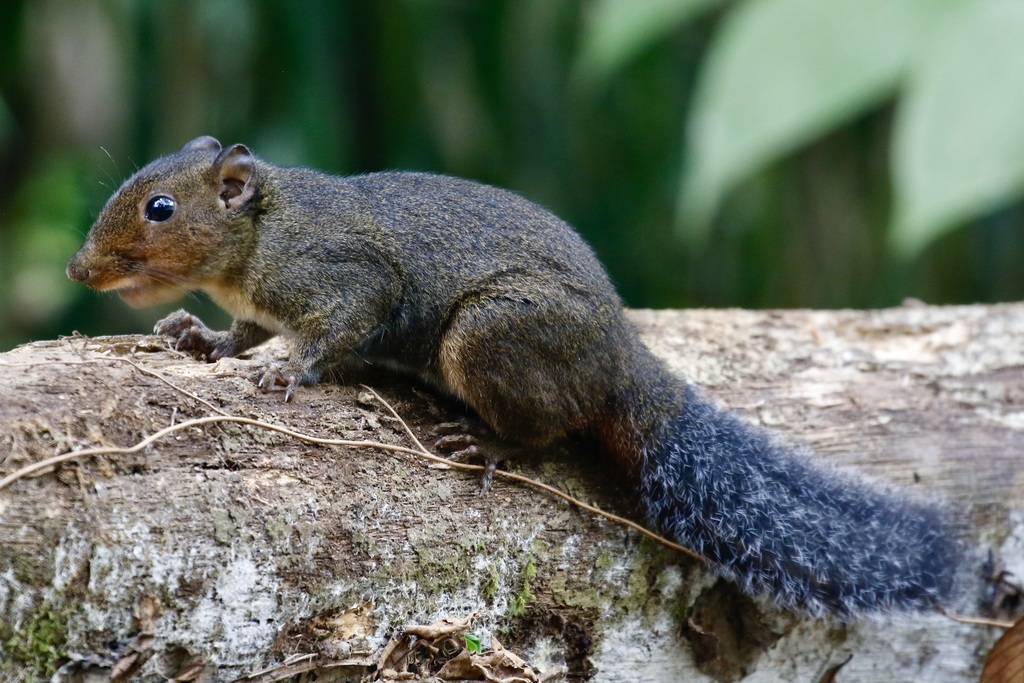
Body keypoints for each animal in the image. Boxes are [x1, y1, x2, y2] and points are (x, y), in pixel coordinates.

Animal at [67, 136, 961, 619]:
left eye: (159, 209)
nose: (80, 269)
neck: (259, 232)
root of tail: (621, 358)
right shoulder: (259, 304)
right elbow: (242, 335)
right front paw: (198, 338)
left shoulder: (343, 275)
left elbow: (336, 326)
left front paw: (291, 375)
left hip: (490, 336)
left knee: (549, 432)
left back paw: (491, 444)